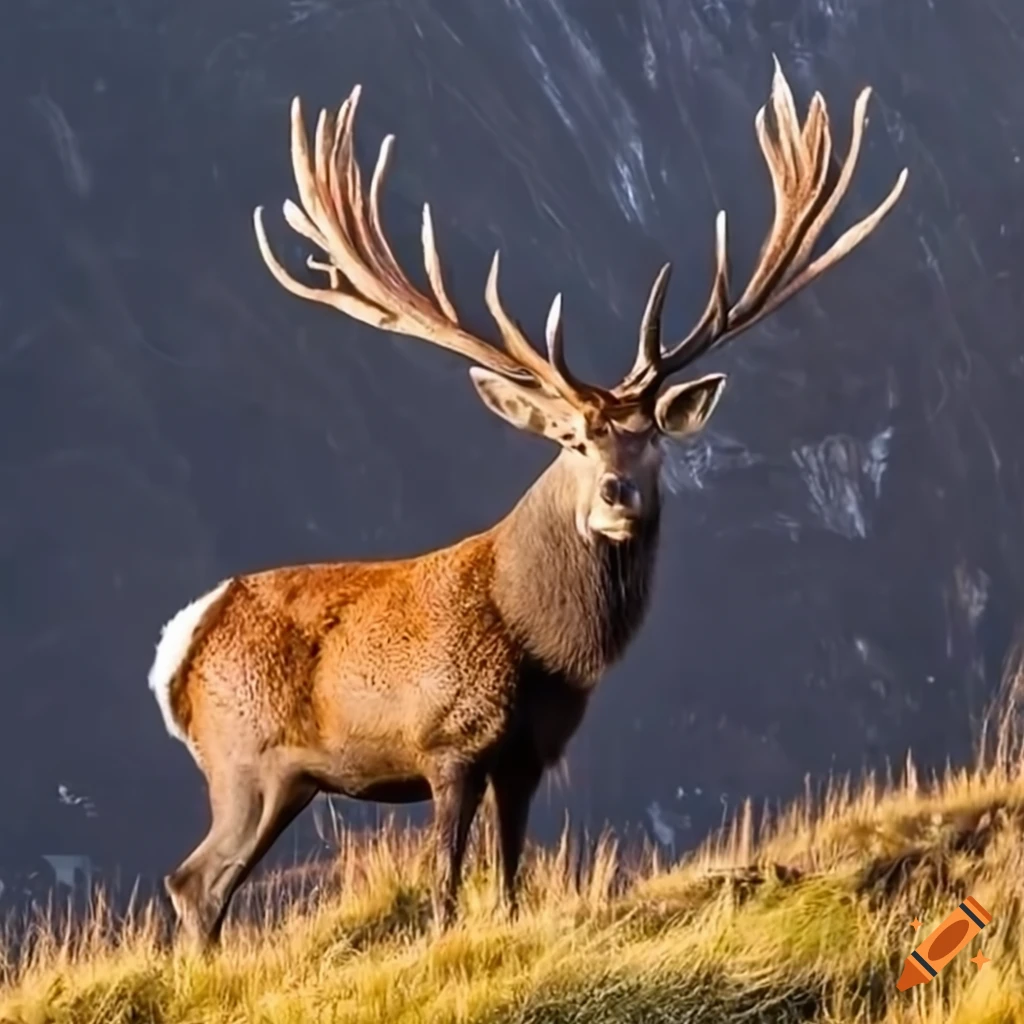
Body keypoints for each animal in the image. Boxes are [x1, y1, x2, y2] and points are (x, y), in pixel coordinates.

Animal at [148, 60, 907, 946]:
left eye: (653, 438)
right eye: (574, 439)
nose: (617, 496)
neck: (545, 646)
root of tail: (179, 645)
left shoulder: (529, 755)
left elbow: (509, 880)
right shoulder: (447, 741)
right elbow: (445, 886)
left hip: (285, 779)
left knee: (206, 882)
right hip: (246, 760)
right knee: (195, 880)